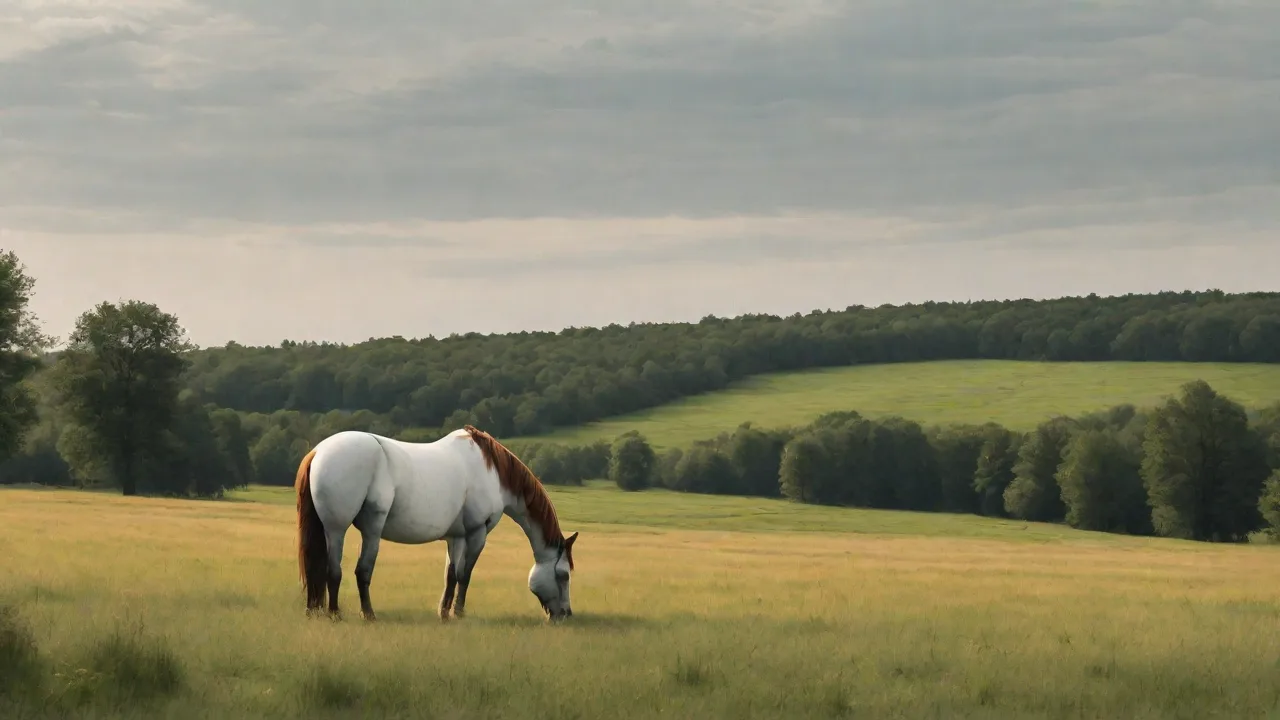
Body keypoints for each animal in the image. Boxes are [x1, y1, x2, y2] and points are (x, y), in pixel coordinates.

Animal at [294, 425, 579, 622]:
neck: (492, 472)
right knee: (344, 571)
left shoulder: (457, 537)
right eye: (564, 575)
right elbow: (466, 574)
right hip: (342, 530)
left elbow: (451, 575)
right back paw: (349, 614)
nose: (566, 614)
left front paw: (444, 612)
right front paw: (459, 613)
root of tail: (318, 451)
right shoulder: (477, 533)